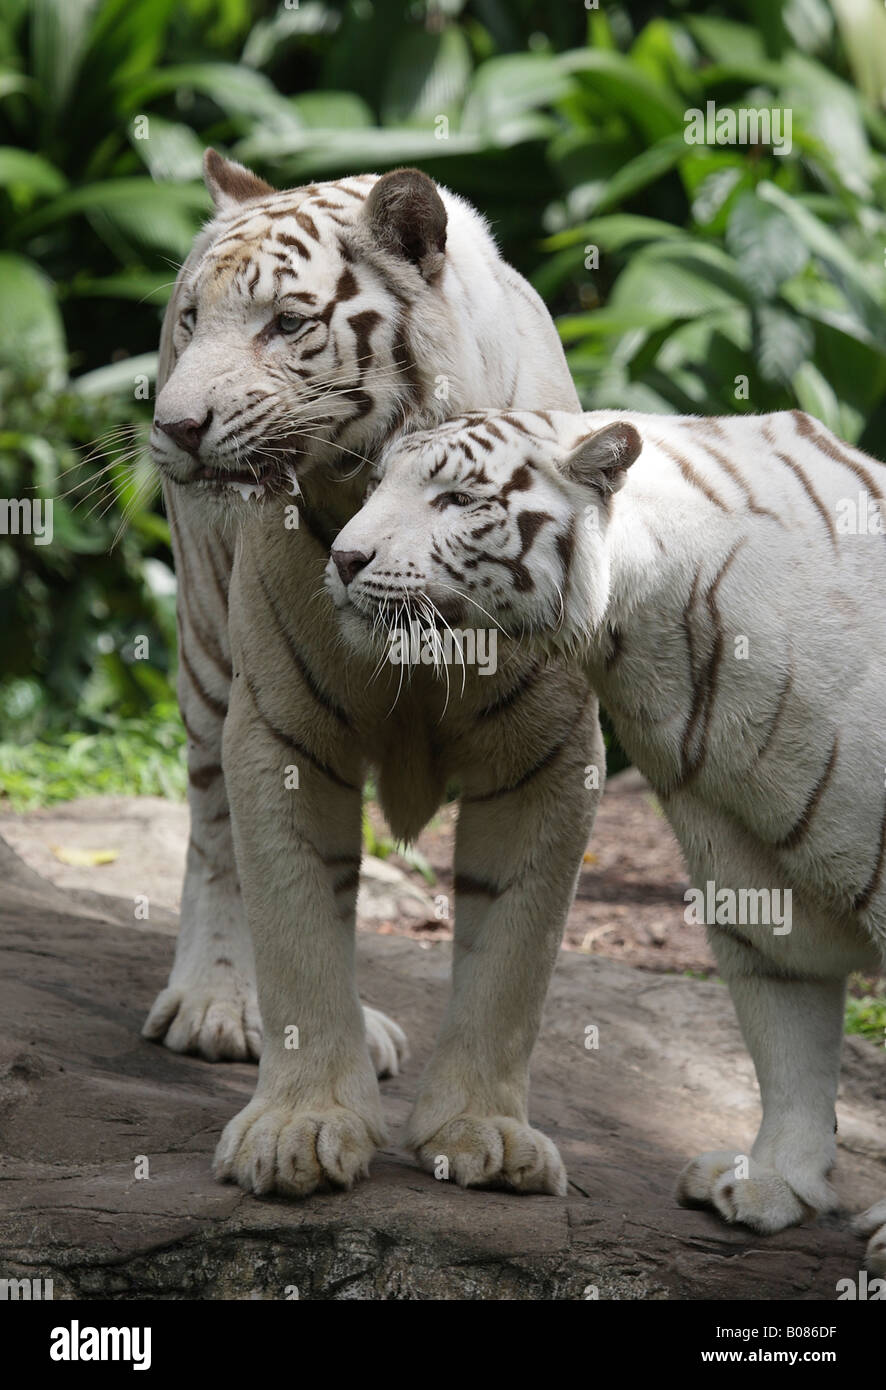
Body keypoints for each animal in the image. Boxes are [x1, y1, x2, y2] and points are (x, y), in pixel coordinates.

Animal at [148, 151, 602, 1197]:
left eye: (286, 322)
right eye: (192, 320)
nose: (174, 425)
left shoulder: (549, 755)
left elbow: (511, 961)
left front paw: (484, 1133)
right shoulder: (280, 731)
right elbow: (300, 935)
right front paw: (301, 1127)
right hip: (207, 649)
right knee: (213, 831)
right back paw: (217, 1003)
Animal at [324, 406, 886, 1272]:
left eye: (457, 499)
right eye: (378, 483)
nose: (344, 558)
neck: (660, 635)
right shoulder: (749, 871)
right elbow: (788, 1035)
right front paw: (769, 1184)